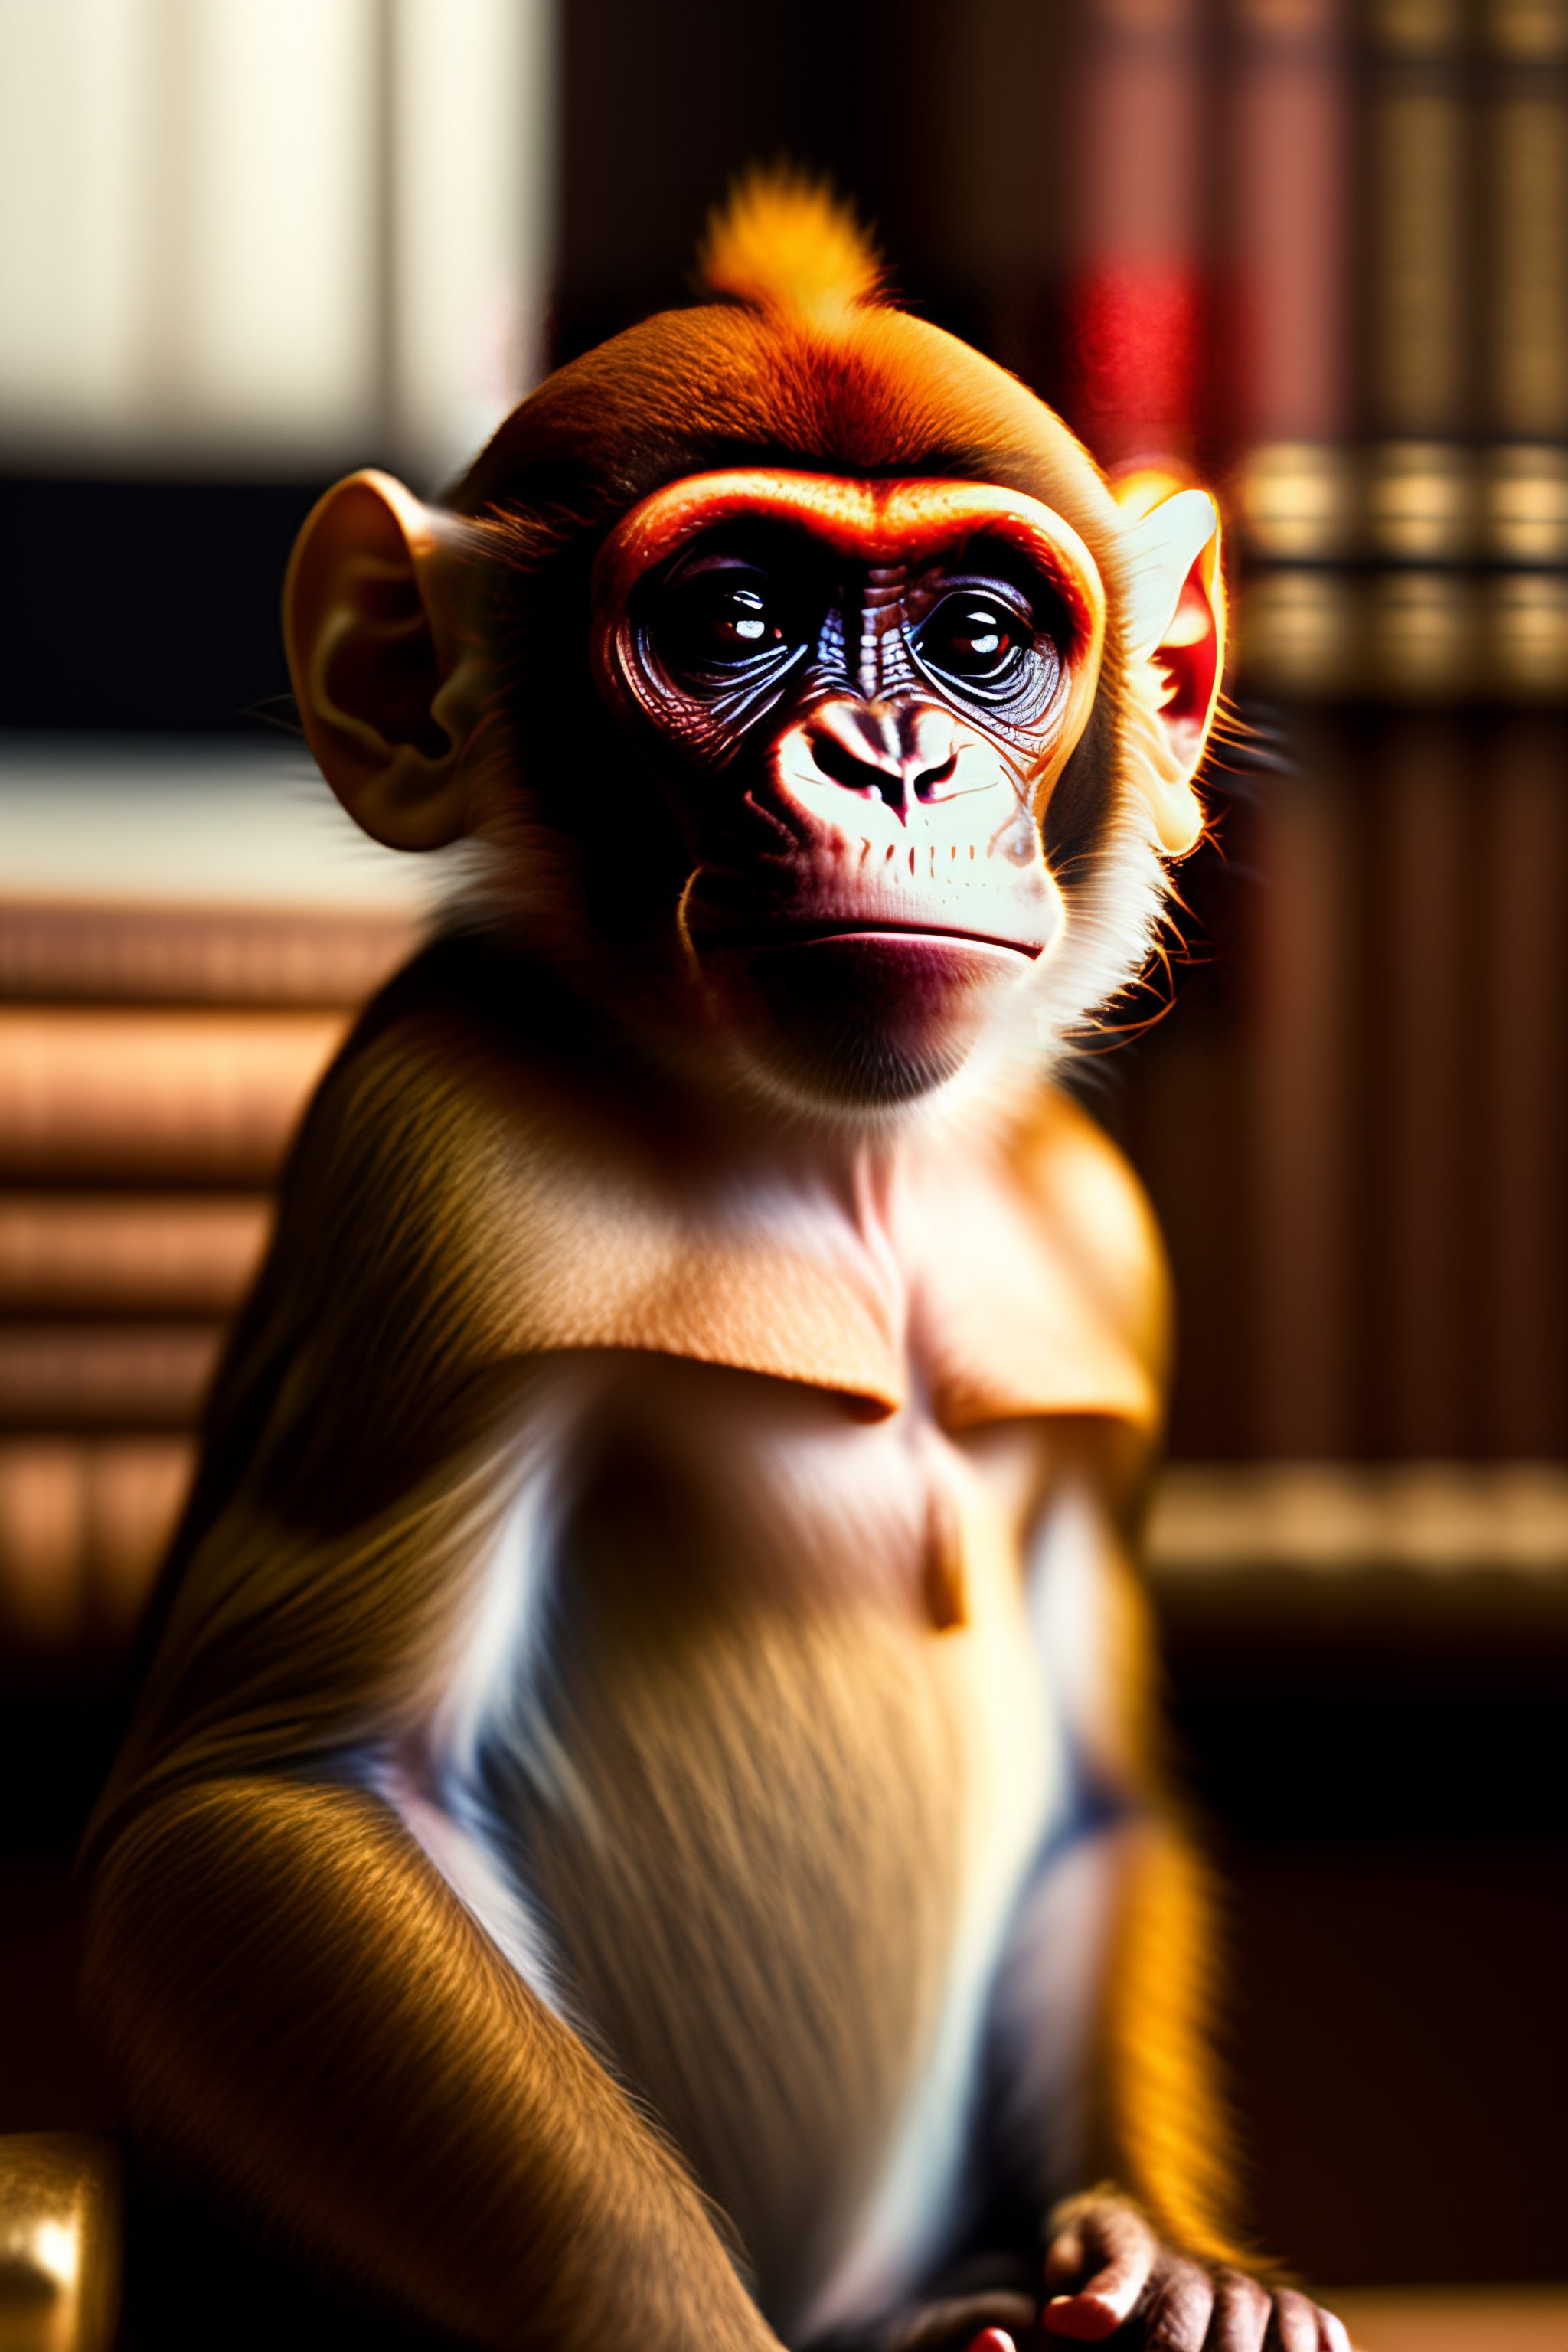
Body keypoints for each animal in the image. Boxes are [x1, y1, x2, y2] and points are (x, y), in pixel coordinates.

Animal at [82, 179, 1352, 2352]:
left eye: (980, 639)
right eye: (735, 626)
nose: (894, 755)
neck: (841, 1171)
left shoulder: (1099, 1242)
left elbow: (1097, 1799)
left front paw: (1173, 2263)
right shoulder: (440, 1175)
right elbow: (271, 1804)